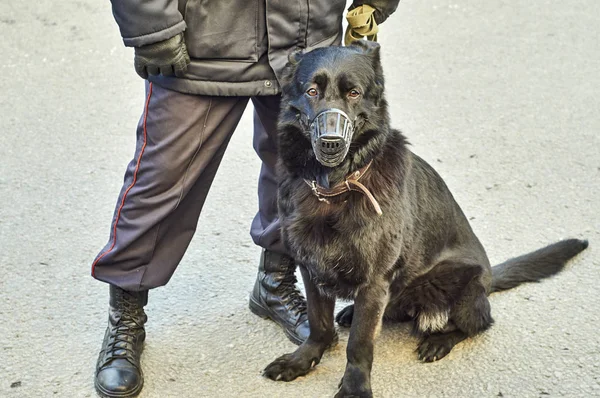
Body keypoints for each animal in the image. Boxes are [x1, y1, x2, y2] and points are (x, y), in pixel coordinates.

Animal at [264, 41, 592, 398]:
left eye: (353, 93)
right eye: (312, 91)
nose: (331, 143)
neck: (337, 187)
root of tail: (490, 277)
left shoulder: (375, 281)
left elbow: (360, 344)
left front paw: (354, 388)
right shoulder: (312, 268)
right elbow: (319, 324)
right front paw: (303, 359)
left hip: (460, 287)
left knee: (477, 324)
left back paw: (439, 340)